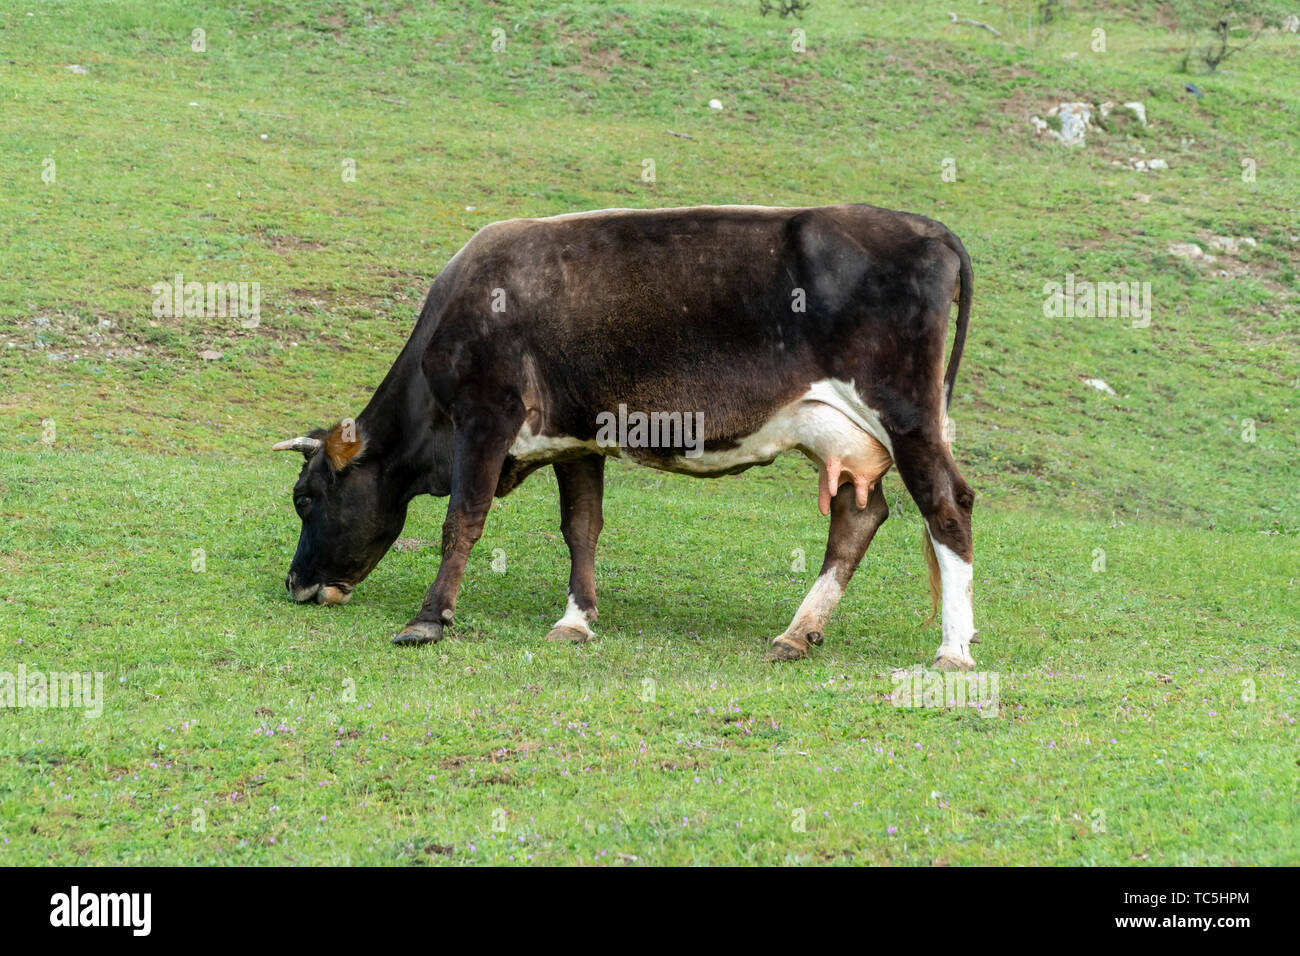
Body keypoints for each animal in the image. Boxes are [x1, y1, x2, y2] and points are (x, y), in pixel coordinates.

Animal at [273, 204, 977, 668]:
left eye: (306, 499)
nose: (294, 584)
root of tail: (927, 227)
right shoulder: (575, 437)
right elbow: (581, 526)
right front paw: (576, 620)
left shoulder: (486, 414)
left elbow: (463, 519)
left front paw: (427, 620)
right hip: (845, 429)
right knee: (859, 516)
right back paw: (796, 633)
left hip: (906, 411)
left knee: (948, 506)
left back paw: (953, 651)